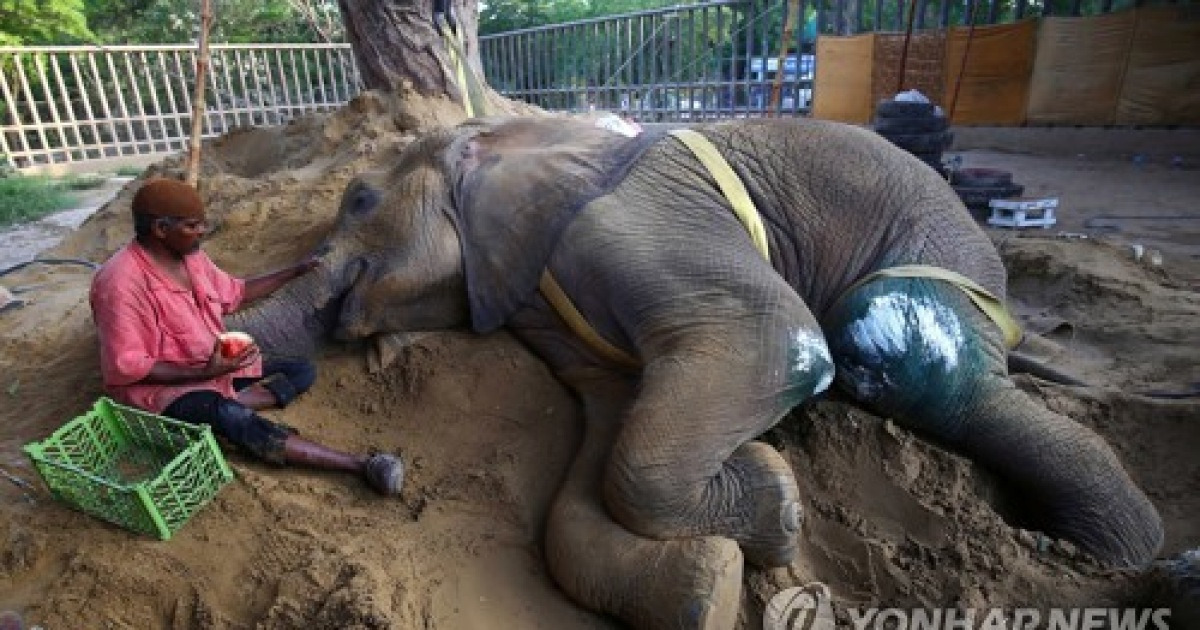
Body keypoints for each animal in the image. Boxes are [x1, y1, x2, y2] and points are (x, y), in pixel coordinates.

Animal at [230, 116, 1163, 629]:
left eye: (359, 201)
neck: (506, 139)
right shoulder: (558, 316)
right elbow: (600, 461)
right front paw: (712, 582)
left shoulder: (626, 225)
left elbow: (771, 341)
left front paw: (778, 510)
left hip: (933, 255)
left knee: (922, 369)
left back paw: (1102, 555)